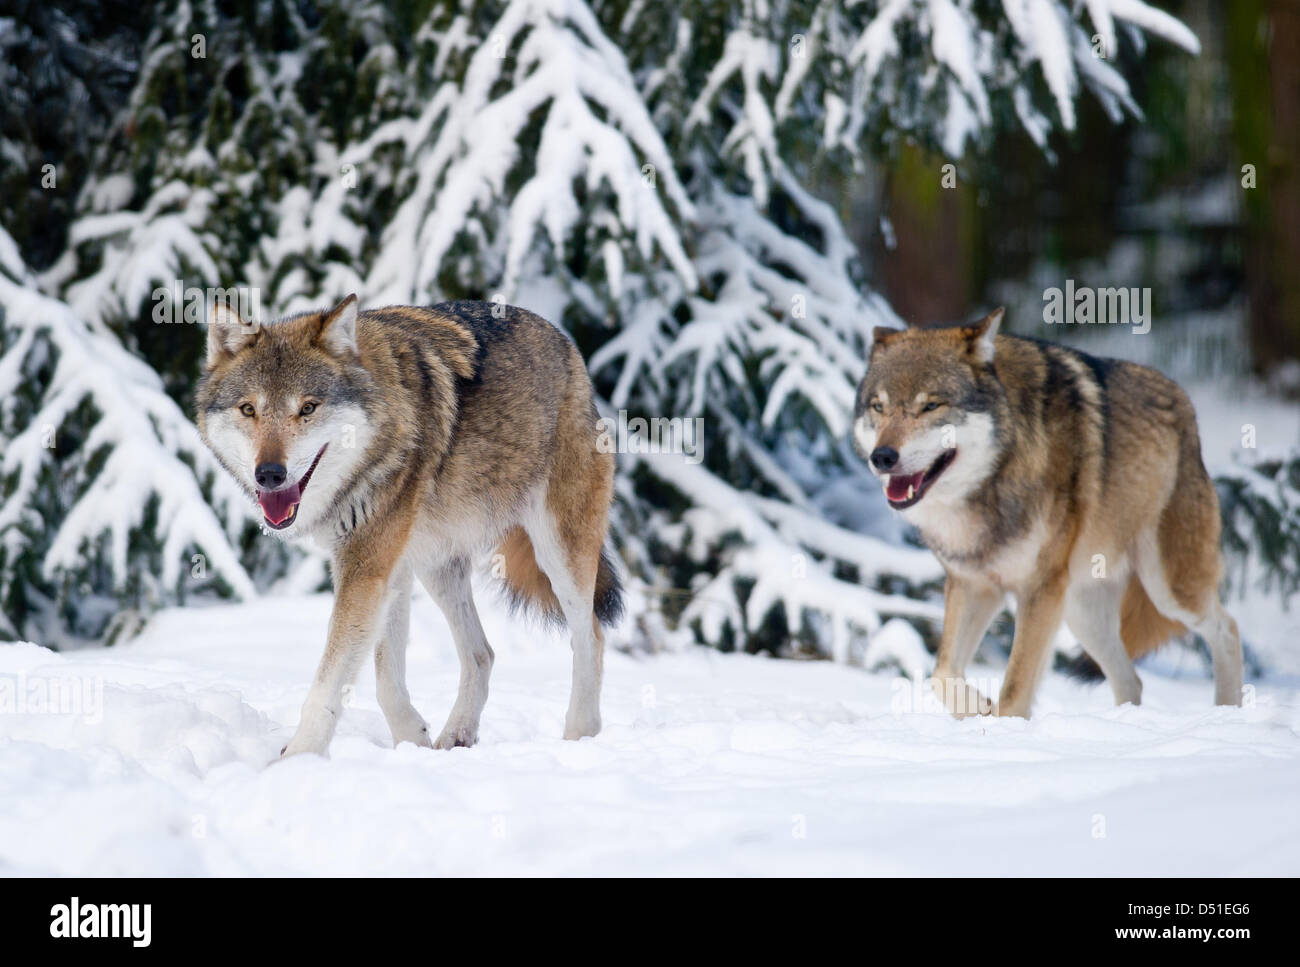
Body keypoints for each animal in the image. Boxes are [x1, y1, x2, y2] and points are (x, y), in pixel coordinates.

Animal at [197, 295, 623, 757]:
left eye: (307, 408)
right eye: (249, 410)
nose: (269, 474)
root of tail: (566, 344)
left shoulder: (366, 565)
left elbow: (330, 682)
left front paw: (299, 759)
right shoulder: (388, 567)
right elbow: (386, 678)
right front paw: (411, 742)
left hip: (559, 553)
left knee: (590, 637)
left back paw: (580, 735)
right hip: (436, 565)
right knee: (483, 653)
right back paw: (456, 735)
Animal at [852, 308, 1242, 718]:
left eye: (931, 406)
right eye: (878, 407)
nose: (882, 457)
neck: (992, 479)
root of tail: (1182, 399)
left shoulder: (1038, 588)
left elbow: (1014, 691)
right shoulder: (973, 584)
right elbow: (941, 673)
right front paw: (979, 710)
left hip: (1167, 589)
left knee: (1227, 629)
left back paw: (1228, 711)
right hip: (1082, 613)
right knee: (1131, 680)